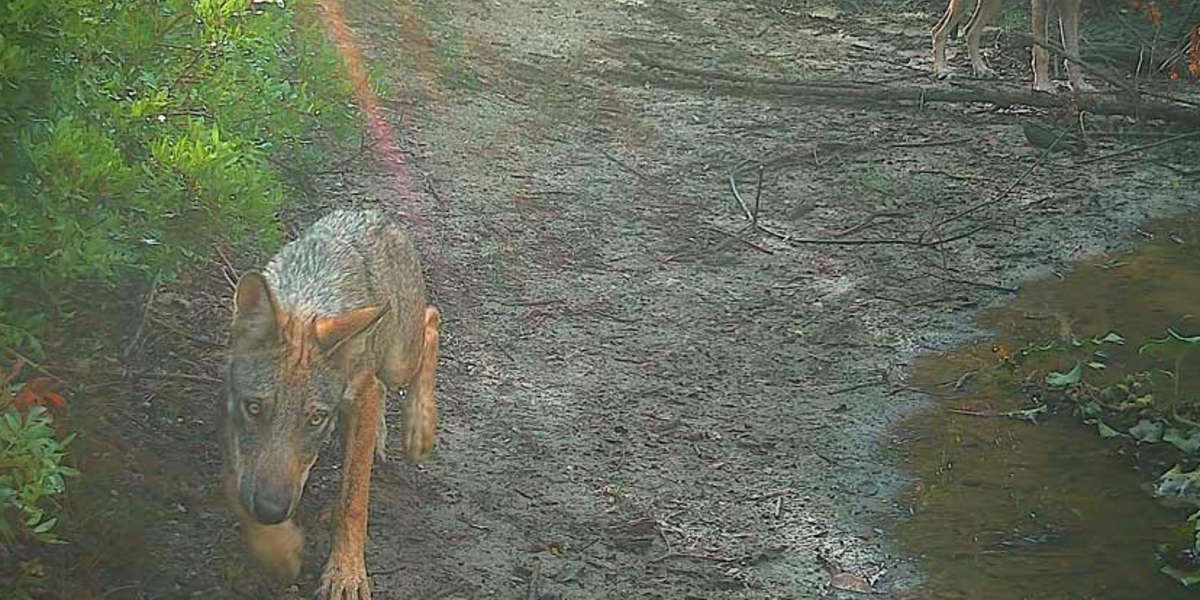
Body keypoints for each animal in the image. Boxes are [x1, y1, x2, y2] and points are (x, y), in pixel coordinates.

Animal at [220, 209, 441, 600]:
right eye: (254, 408)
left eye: (316, 419)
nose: (271, 510)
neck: (307, 298)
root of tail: (373, 212)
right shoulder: (234, 416)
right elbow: (237, 486)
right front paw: (277, 549)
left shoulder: (359, 396)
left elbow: (353, 499)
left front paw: (346, 573)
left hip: (397, 360)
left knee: (431, 320)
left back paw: (419, 429)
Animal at [931, 0, 1094, 92]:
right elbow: (1042, 53)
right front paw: (1043, 85)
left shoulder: (1071, 5)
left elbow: (1073, 52)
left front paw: (1079, 84)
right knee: (938, 31)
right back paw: (942, 69)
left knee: (970, 30)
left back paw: (981, 69)